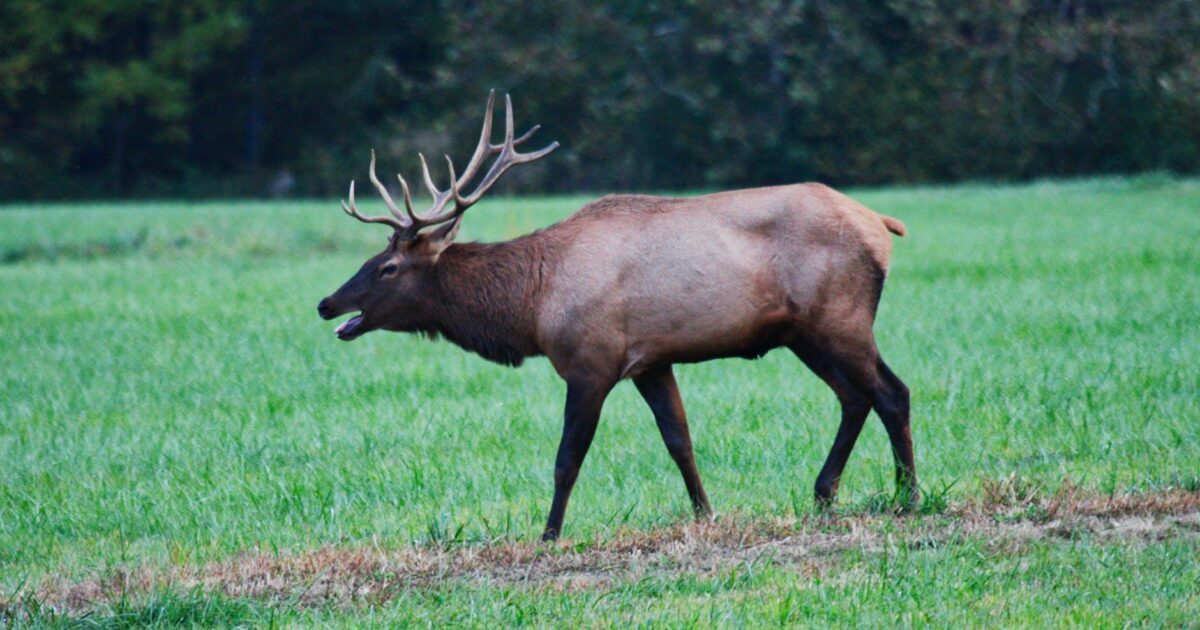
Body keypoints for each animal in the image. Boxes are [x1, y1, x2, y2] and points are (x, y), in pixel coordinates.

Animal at [317, 92, 916, 541]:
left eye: (387, 267)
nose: (327, 303)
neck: (532, 305)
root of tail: (882, 223)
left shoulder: (591, 361)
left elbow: (567, 458)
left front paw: (549, 534)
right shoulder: (650, 362)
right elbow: (680, 441)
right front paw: (706, 513)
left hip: (840, 318)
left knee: (891, 392)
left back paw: (907, 494)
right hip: (804, 333)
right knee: (854, 397)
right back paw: (825, 493)